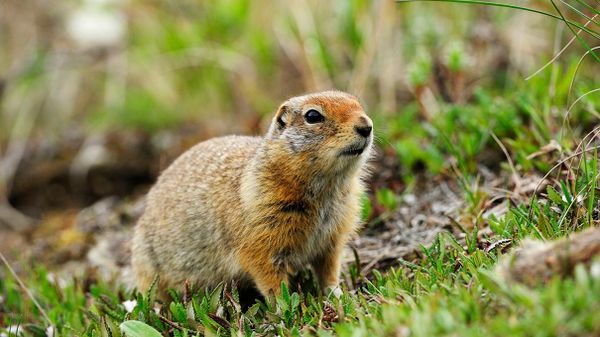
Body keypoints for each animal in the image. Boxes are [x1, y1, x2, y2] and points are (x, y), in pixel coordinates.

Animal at [134, 90, 372, 296]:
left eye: (358, 103)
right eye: (312, 116)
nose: (367, 126)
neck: (327, 188)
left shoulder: (333, 239)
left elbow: (329, 271)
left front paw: (338, 295)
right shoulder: (261, 240)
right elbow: (270, 279)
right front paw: (285, 309)